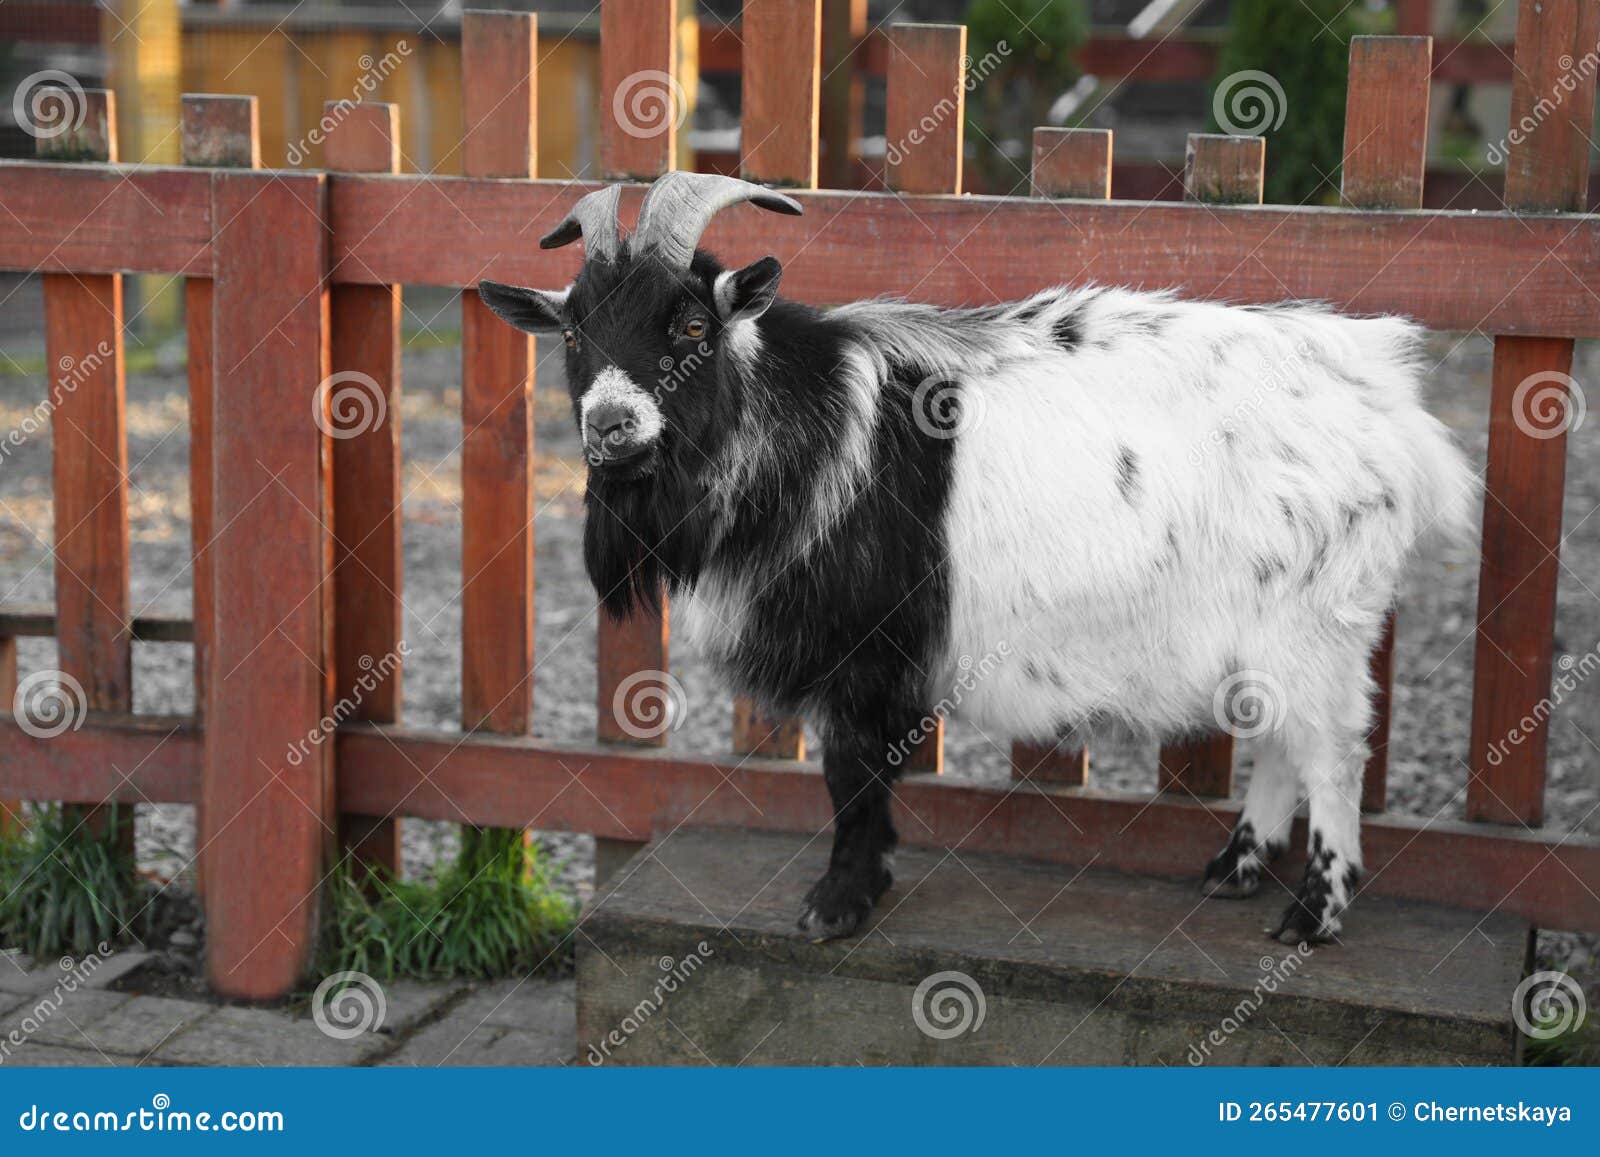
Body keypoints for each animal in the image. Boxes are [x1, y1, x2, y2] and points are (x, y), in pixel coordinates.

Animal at [479, 172, 1476, 945]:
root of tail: (1389, 398)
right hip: (1267, 627)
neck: (795, 426)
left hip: (1318, 618)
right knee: (1276, 735)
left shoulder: (869, 649)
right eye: (573, 333)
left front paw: (838, 903)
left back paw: (1313, 912)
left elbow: (852, 772)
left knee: (1333, 751)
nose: (611, 426)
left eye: (690, 327)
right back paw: (1232, 867)